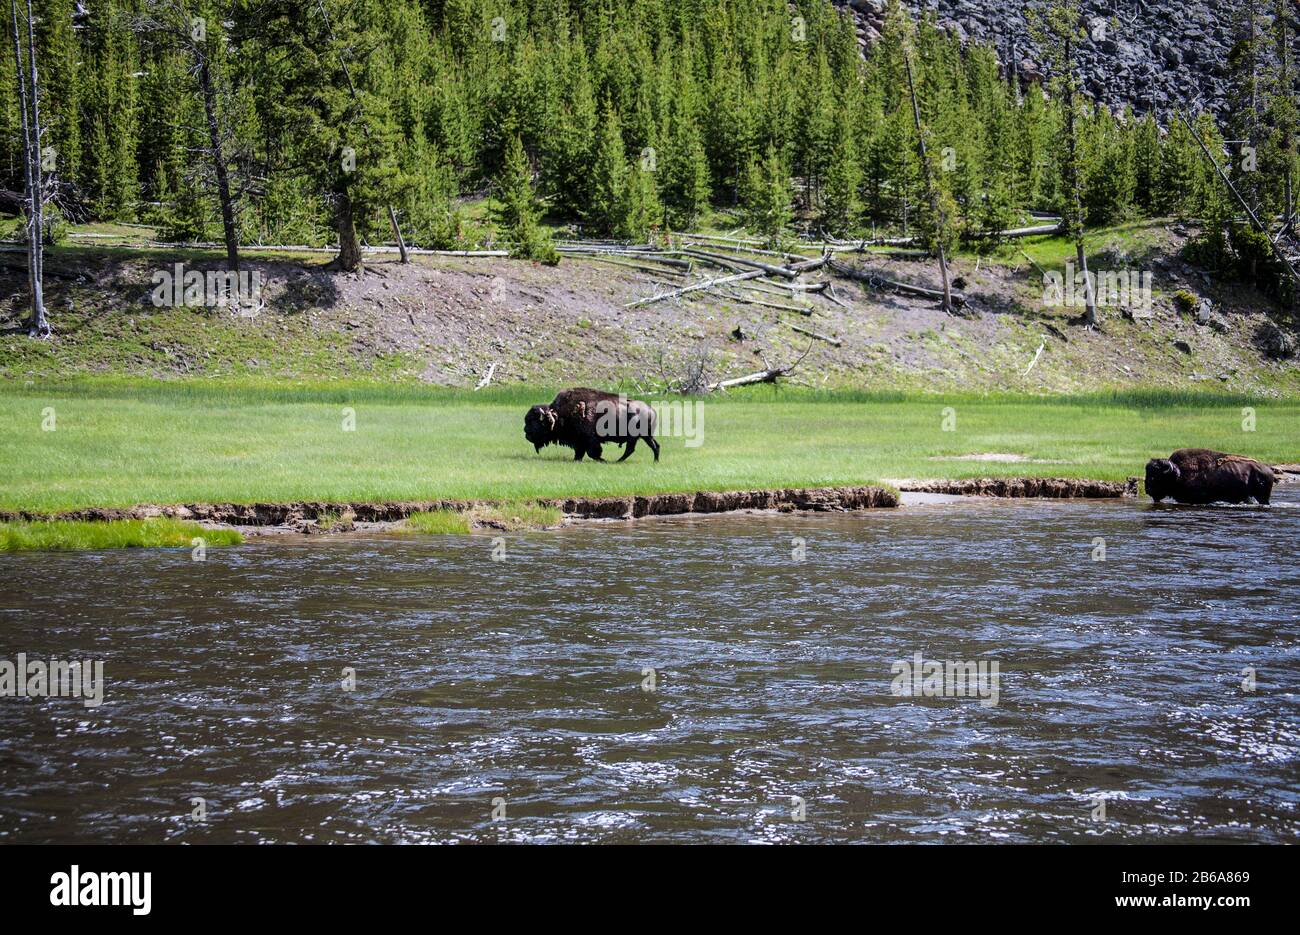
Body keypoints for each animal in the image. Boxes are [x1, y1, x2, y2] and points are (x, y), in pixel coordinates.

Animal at [524, 387, 660, 462]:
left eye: (535, 421)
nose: (526, 433)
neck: (559, 414)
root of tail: (650, 410)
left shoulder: (589, 439)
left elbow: (593, 452)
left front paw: (603, 460)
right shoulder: (579, 441)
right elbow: (580, 452)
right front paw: (576, 460)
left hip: (635, 437)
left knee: (631, 449)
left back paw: (617, 461)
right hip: (646, 436)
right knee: (655, 446)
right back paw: (655, 461)